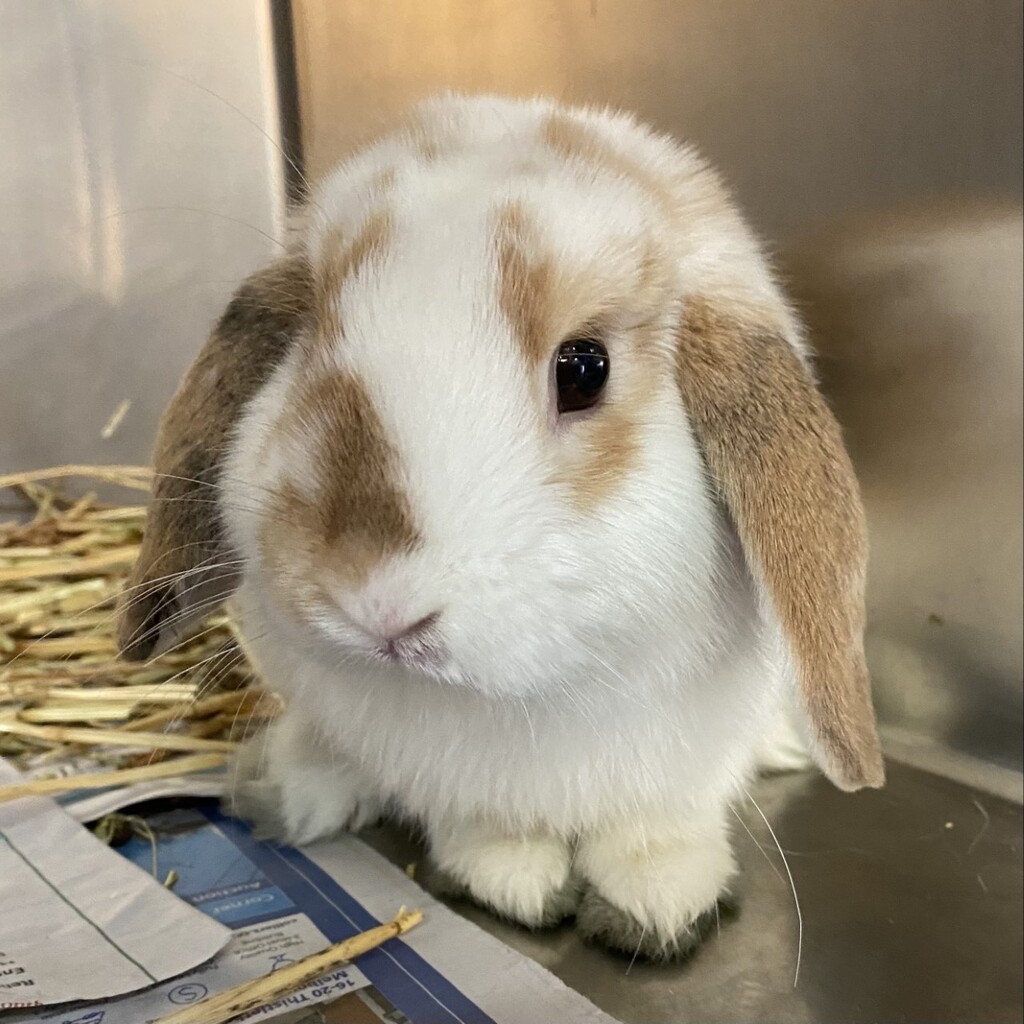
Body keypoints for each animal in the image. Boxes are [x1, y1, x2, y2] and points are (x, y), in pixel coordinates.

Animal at [116, 93, 883, 961]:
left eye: (584, 369)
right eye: (305, 344)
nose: (377, 603)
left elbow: (657, 822)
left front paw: (658, 900)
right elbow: (486, 829)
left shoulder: (681, 762)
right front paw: (511, 878)